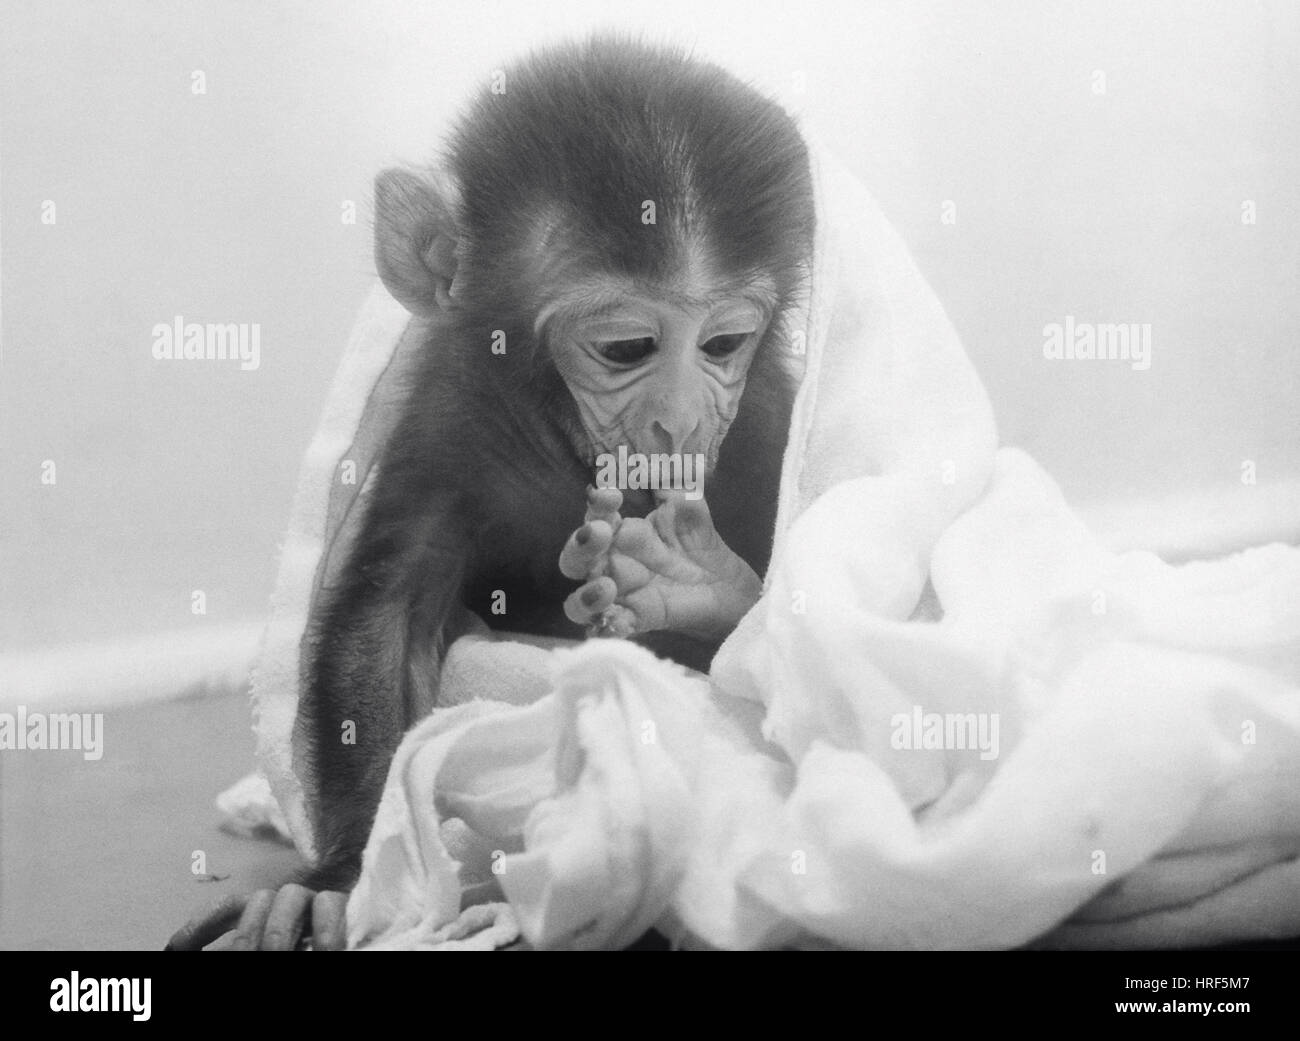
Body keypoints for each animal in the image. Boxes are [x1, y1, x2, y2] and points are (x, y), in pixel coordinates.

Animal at [168, 34, 815, 951]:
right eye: (626, 348)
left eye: (723, 343)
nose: (682, 420)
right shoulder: (451, 407)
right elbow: (384, 619)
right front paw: (344, 878)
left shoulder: (762, 424)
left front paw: (694, 582)